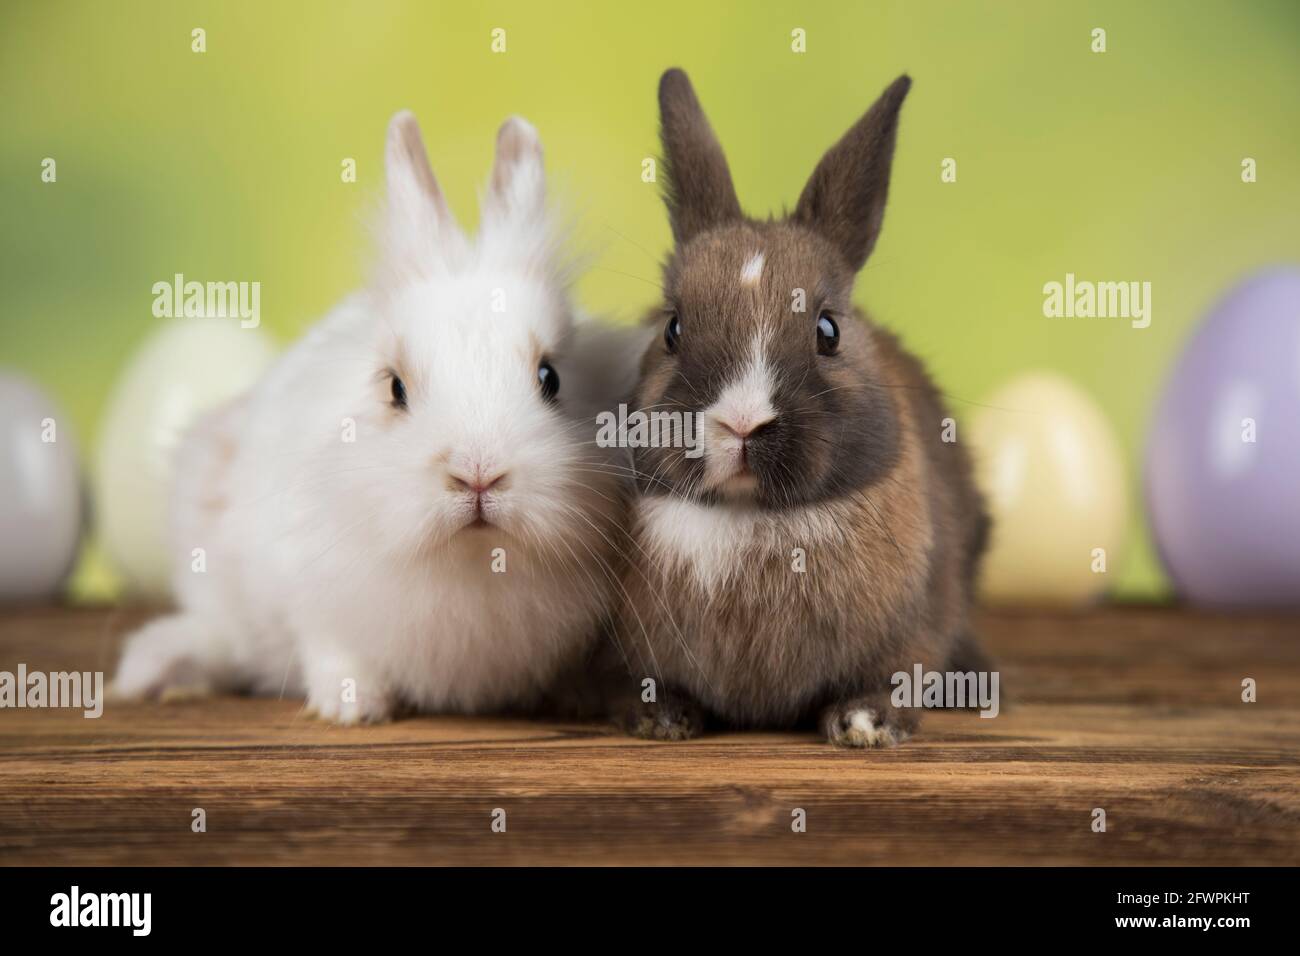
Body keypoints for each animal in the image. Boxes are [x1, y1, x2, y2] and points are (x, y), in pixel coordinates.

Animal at [113, 110, 633, 724]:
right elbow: (328, 647)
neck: (475, 565)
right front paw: (355, 706)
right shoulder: (306, 589)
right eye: (394, 387)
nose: (478, 474)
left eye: (550, 378)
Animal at [603, 70, 991, 747]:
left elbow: (896, 673)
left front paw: (865, 723)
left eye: (828, 331)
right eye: (672, 328)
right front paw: (661, 716)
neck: (750, 517)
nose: (742, 422)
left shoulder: (920, 621)